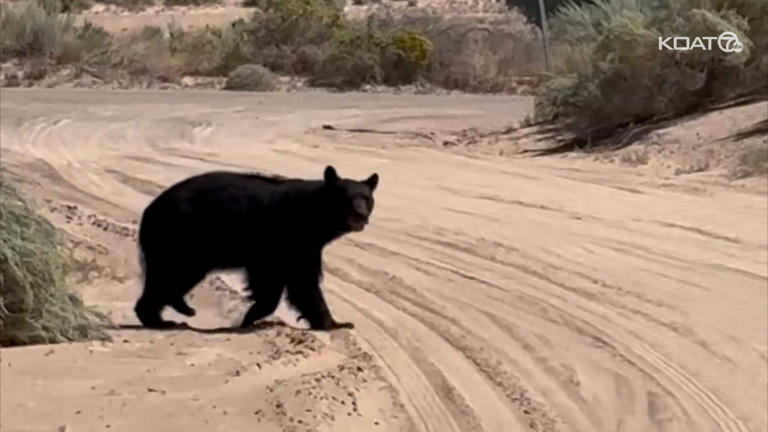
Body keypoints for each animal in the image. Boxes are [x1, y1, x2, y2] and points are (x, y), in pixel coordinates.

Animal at [133, 165, 378, 331]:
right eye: (346, 198)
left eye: (367, 198)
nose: (360, 215)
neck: (314, 217)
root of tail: (149, 210)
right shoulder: (289, 238)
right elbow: (301, 282)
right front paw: (337, 323)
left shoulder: (292, 247)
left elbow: (282, 282)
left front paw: (250, 316)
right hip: (180, 239)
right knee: (171, 275)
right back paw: (169, 315)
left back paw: (160, 315)